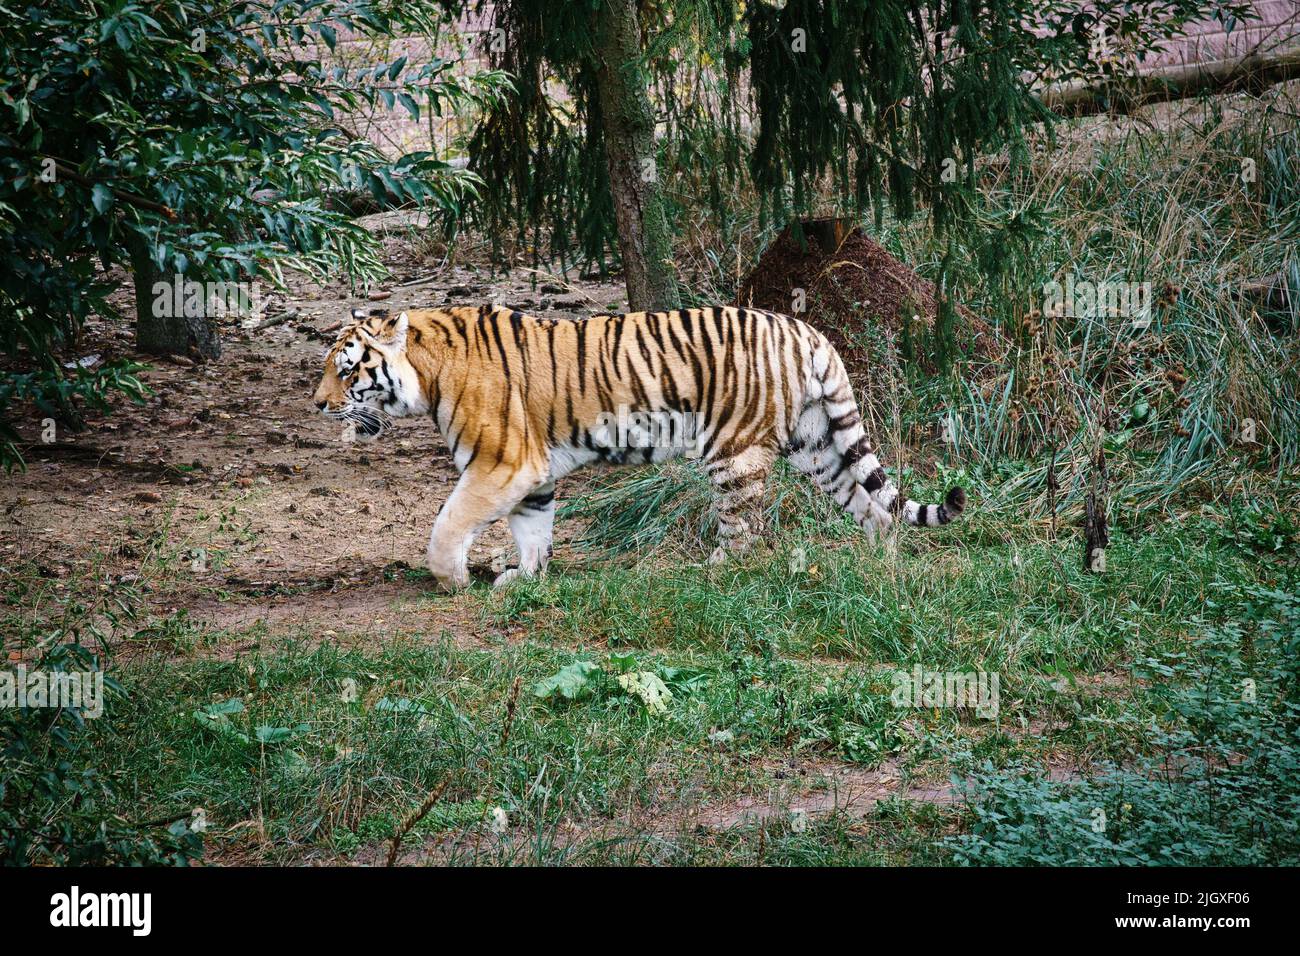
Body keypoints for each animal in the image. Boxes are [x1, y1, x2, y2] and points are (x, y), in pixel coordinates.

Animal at [312, 305, 966, 591]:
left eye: (347, 371)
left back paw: (712, 574)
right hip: (818, 446)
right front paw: (524, 579)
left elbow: (447, 525)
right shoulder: (534, 473)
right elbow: (533, 529)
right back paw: (880, 564)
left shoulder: (501, 464)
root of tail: (805, 329)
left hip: (733, 451)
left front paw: (453, 580)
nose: (317, 404)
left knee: (743, 529)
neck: (427, 372)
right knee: (875, 507)